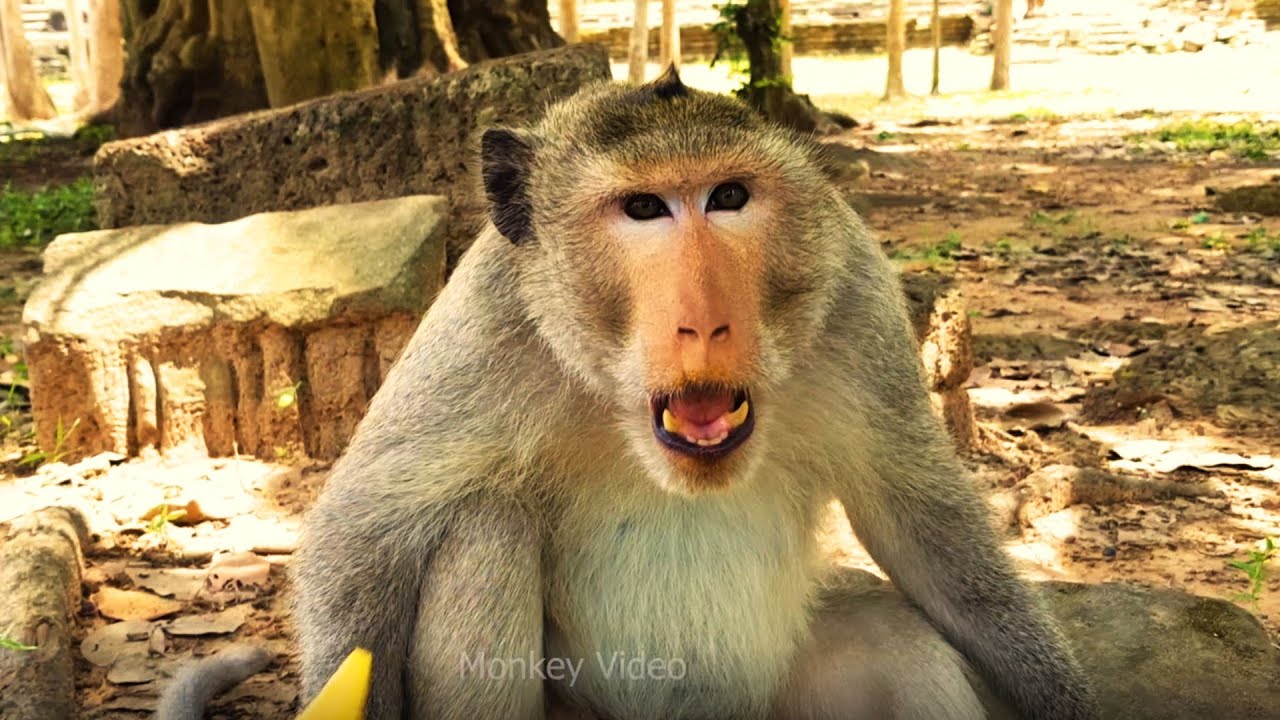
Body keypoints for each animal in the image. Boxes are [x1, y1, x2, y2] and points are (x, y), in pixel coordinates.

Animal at [286, 65, 1098, 720]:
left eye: (728, 196)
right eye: (644, 208)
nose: (705, 322)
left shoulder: (857, 292)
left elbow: (929, 533)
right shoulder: (482, 323)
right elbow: (364, 536)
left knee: (897, 643)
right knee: (486, 523)